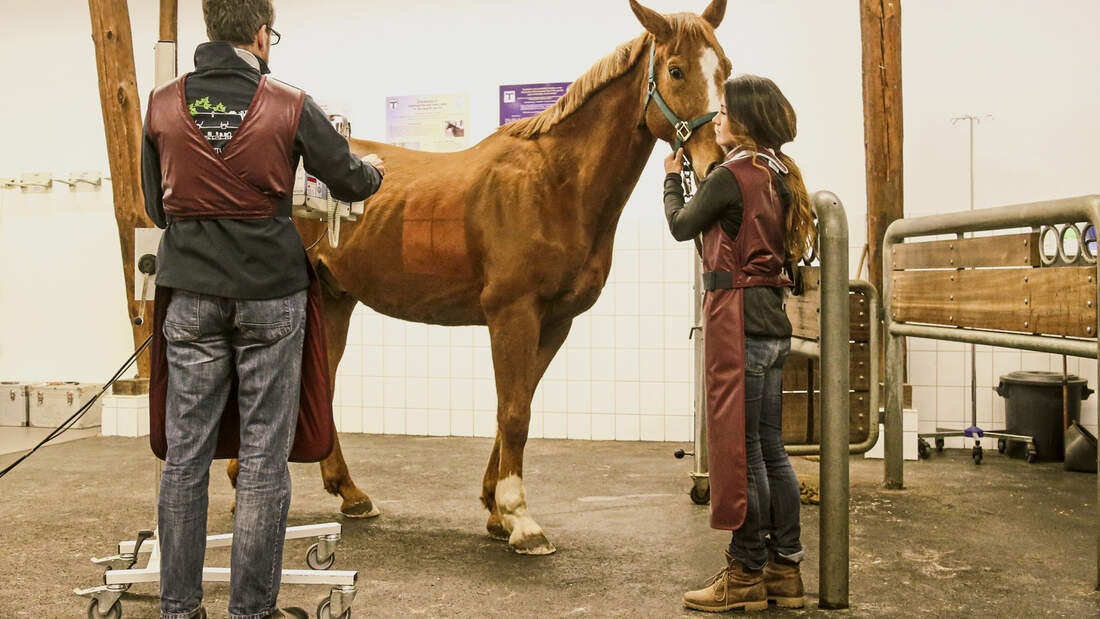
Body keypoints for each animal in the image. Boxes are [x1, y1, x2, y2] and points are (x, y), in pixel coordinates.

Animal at [230, 0, 732, 556]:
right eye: (676, 70)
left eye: (726, 71)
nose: (716, 162)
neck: (554, 183)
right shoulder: (513, 314)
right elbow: (514, 414)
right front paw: (521, 519)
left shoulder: (554, 323)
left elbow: (516, 404)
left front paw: (495, 510)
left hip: (335, 300)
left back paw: (350, 494)